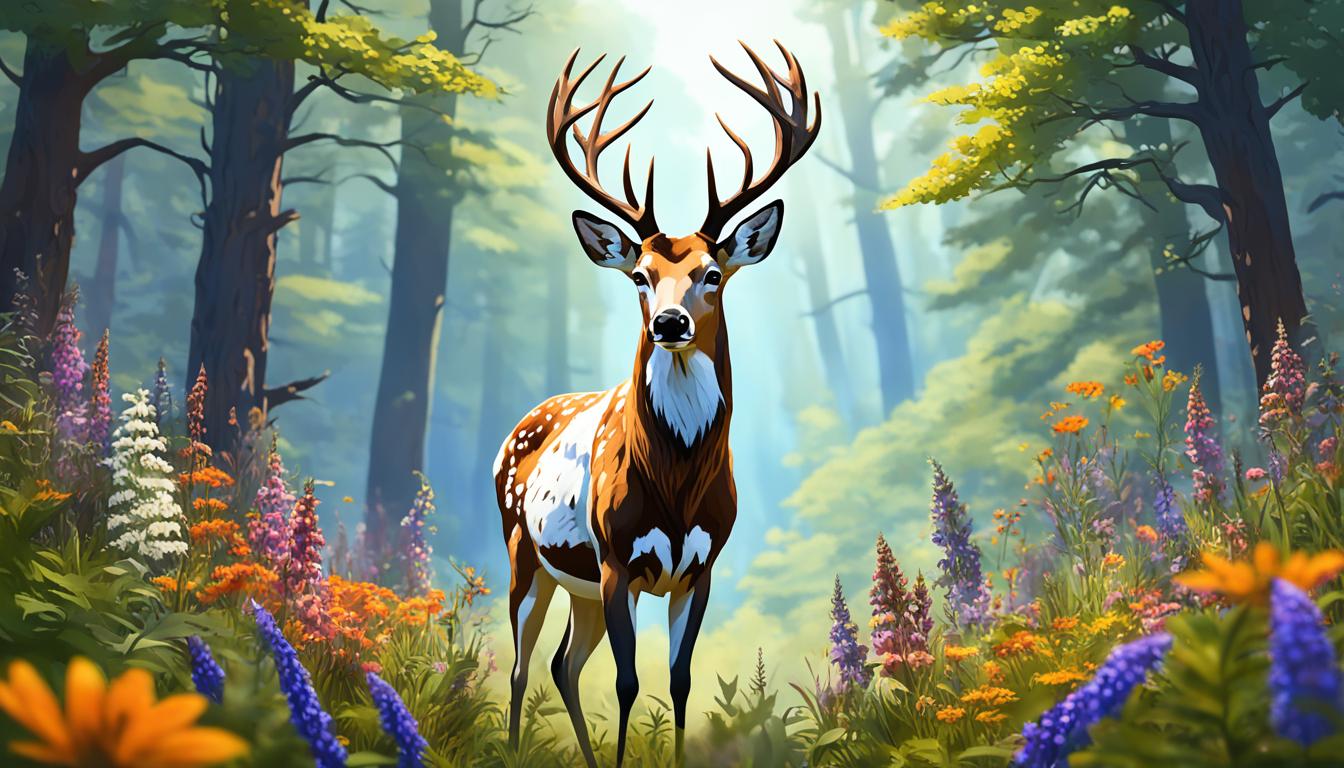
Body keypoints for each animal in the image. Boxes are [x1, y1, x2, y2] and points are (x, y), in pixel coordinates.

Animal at [493, 40, 820, 768]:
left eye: (713, 272)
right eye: (640, 275)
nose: (671, 322)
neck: (675, 483)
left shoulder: (701, 566)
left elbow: (678, 680)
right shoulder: (619, 559)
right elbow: (626, 682)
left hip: (579, 583)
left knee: (562, 663)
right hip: (525, 551)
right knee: (525, 665)